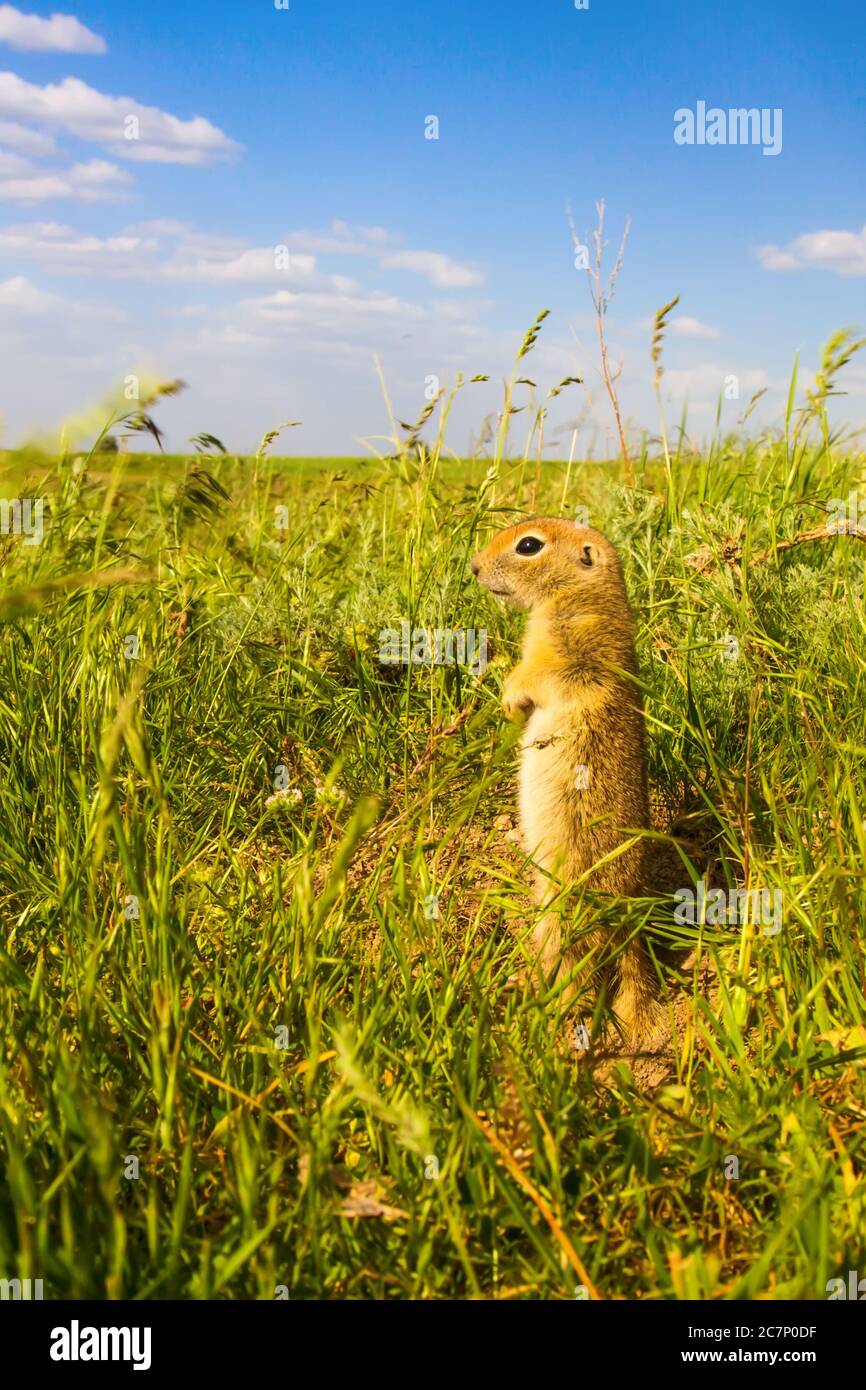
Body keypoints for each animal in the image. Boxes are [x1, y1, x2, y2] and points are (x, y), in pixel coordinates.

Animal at [471, 517, 658, 1044]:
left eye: (529, 546)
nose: (473, 566)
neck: (579, 595)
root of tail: (626, 925)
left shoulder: (566, 654)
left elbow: (534, 678)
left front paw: (509, 702)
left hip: (562, 920)